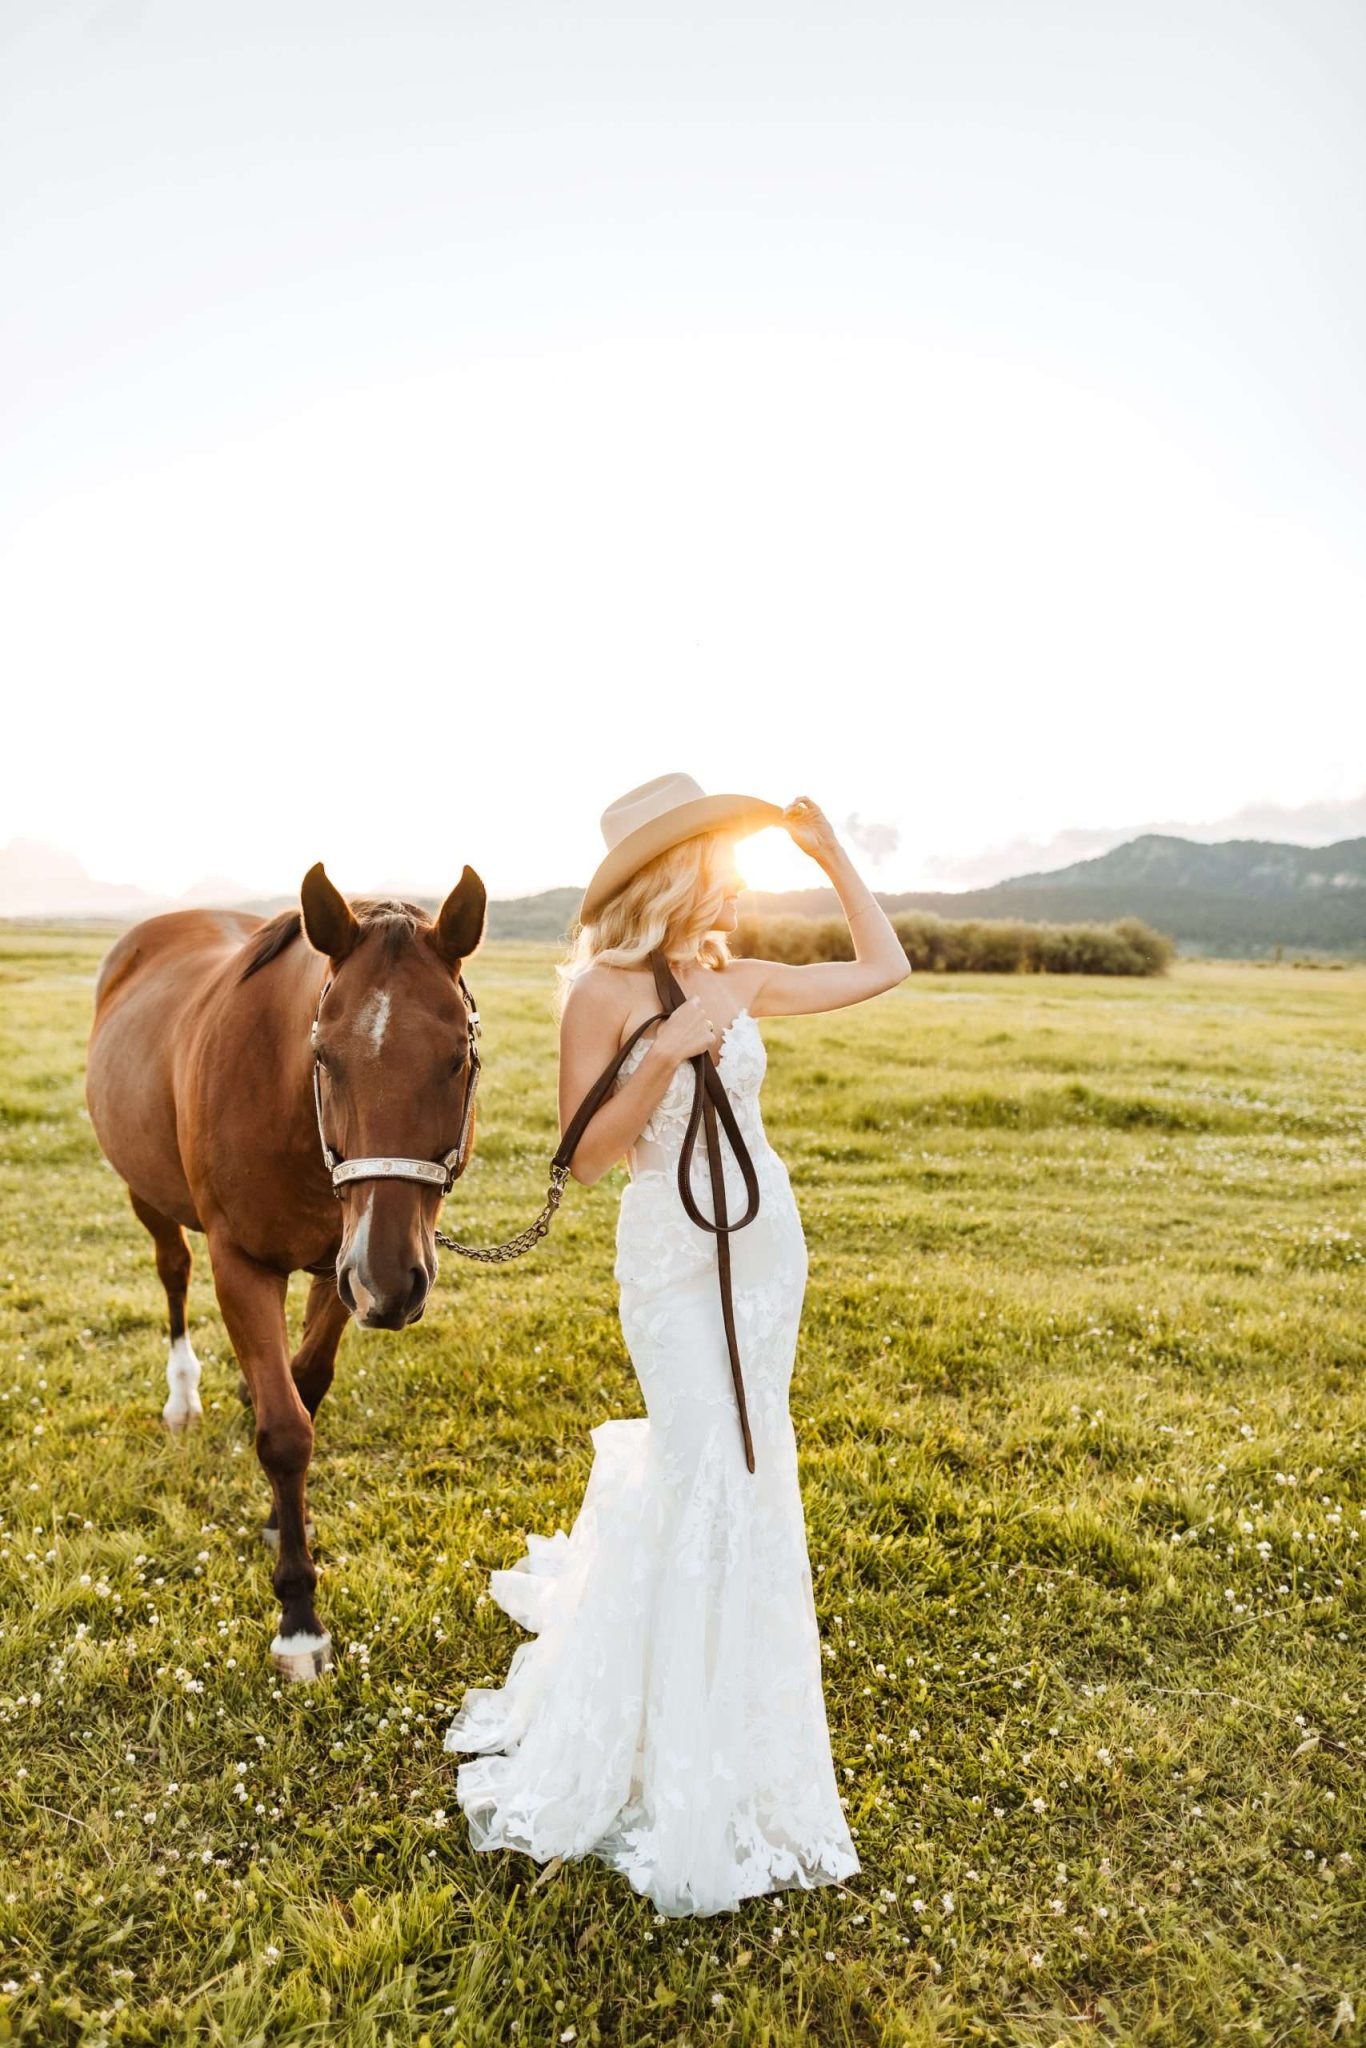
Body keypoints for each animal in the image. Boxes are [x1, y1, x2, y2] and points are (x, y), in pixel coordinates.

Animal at [83, 861, 487, 1680]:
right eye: (324, 1055)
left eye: (456, 1057)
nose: (391, 1284)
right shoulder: (243, 1265)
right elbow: (284, 1432)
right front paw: (299, 1620)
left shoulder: (343, 1265)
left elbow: (306, 1386)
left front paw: (280, 1516)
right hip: (149, 1197)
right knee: (172, 1274)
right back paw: (183, 1396)